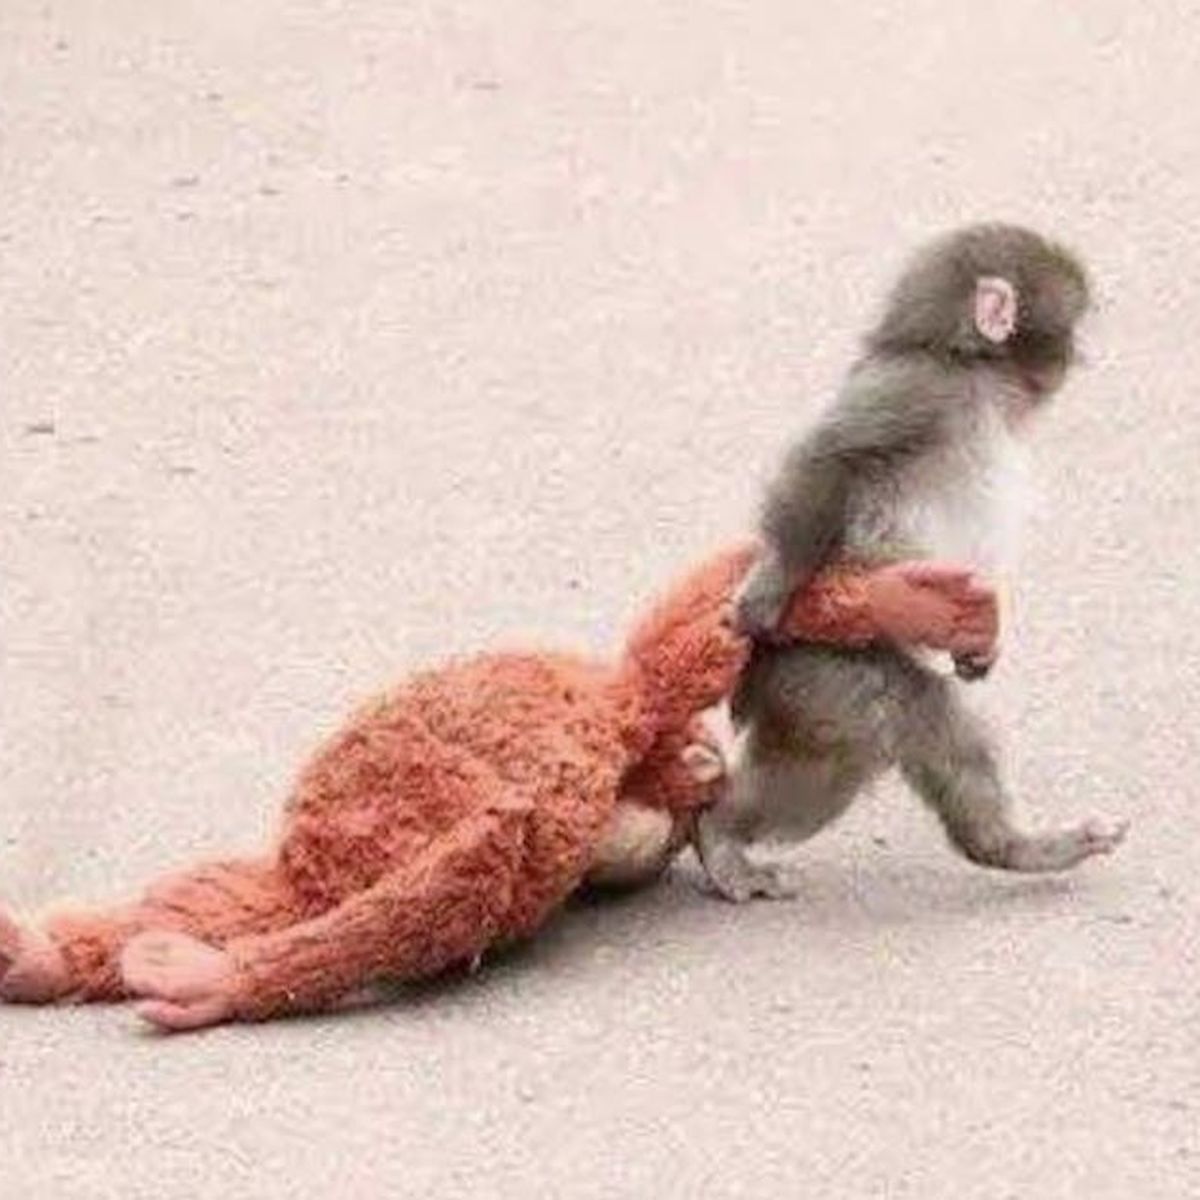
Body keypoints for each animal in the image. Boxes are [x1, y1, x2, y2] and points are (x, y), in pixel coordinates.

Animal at [694, 222, 1128, 902]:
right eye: (1074, 326)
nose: (1079, 358)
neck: (971, 372)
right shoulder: (919, 391)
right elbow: (831, 458)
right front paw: (771, 583)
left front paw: (980, 648)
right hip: (820, 665)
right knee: (895, 720)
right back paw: (718, 834)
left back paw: (1014, 848)